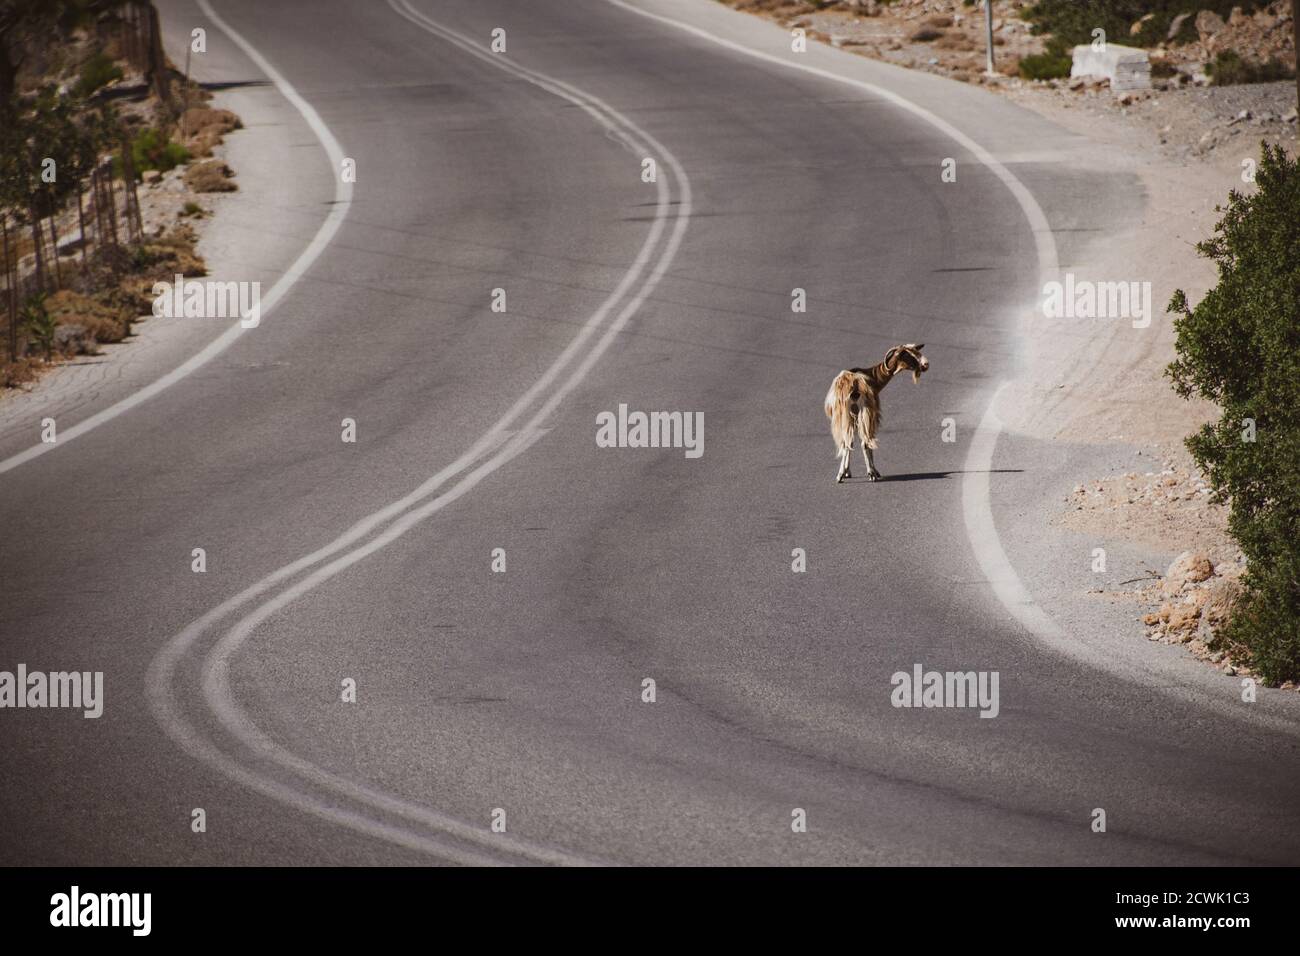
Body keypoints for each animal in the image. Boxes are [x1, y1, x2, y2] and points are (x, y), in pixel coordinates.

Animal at [824, 343, 928, 483]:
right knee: (865, 442)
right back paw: (871, 473)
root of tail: (853, 385)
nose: (925, 364)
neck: (874, 377)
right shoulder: (872, 414)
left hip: (844, 415)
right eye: (907, 355)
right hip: (865, 412)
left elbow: (850, 442)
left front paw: (846, 472)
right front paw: (874, 471)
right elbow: (867, 442)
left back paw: (840, 475)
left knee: (847, 441)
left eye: (916, 351)